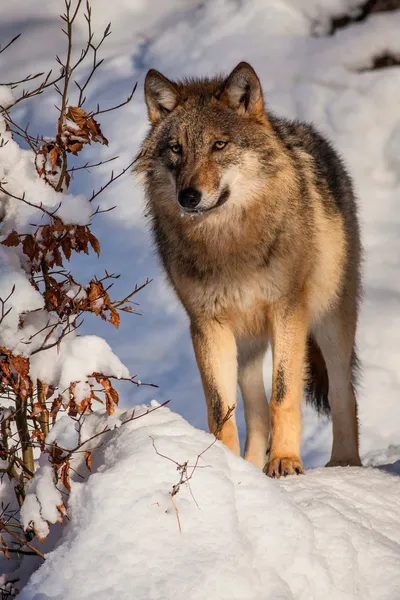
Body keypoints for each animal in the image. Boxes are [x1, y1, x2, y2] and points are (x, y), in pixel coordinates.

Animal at [137, 62, 362, 478]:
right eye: (177, 148)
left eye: (219, 145)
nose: (188, 197)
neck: (229, 244)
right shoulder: (206, 325)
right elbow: (220, 410)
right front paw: (223, 467)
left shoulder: (288, 312)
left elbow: (284, 395)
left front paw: (286, 461)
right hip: (247, 346)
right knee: (255, 412)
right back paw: (252, 465)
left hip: (329, 324)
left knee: (343, 393)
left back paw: (345, 464)